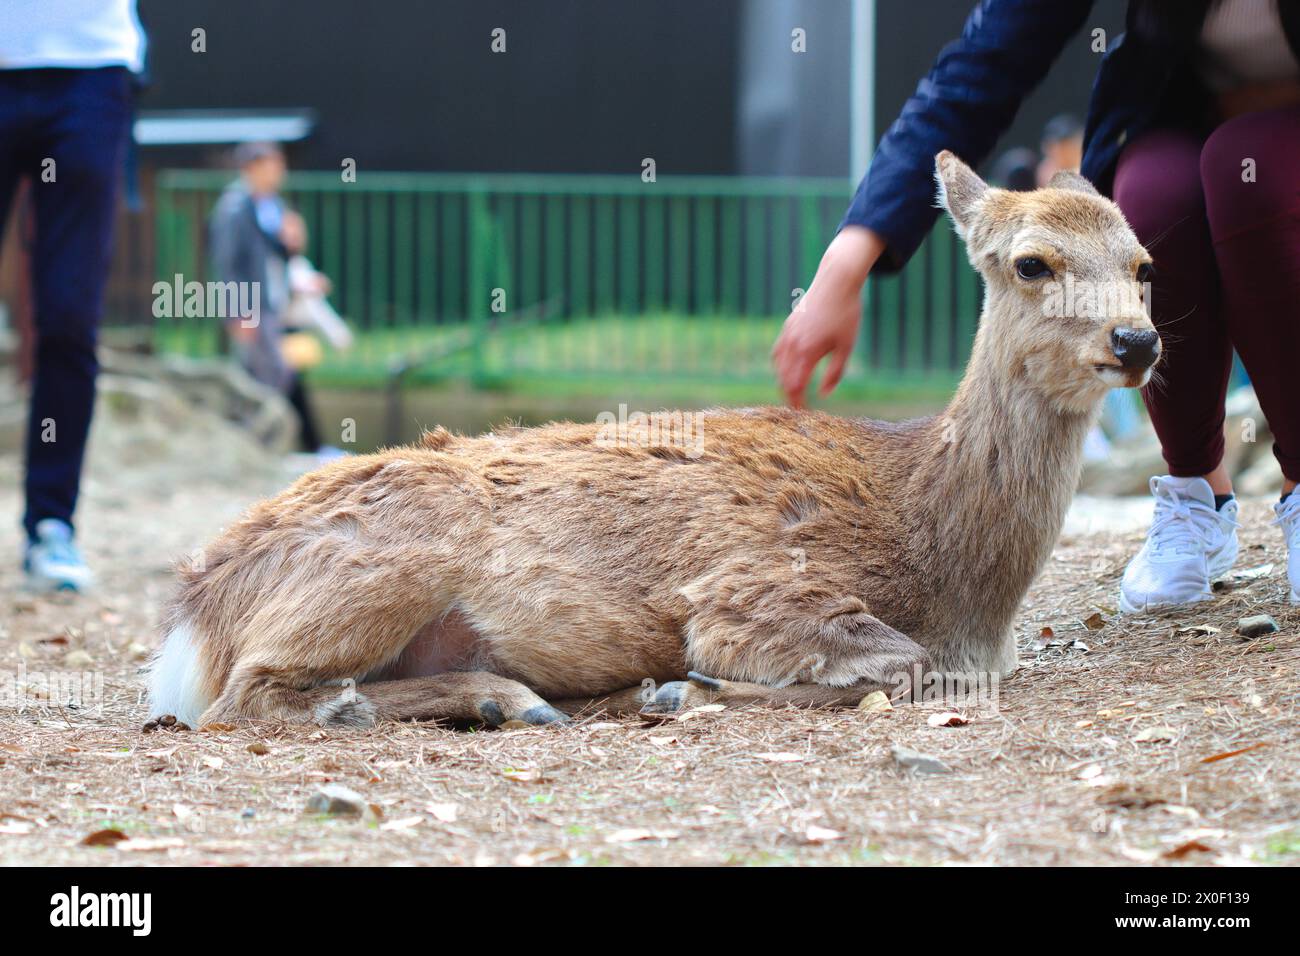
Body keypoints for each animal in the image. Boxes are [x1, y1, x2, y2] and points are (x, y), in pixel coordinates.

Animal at [146, 152, 1159, 730]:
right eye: (1031, 262)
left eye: (1144, 261)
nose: (1137, 340)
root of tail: (197, 605)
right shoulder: (747, 588)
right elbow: (899, 663)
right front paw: (684, 690)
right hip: (381, 557)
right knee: (245, 698)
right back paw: (494, 700)